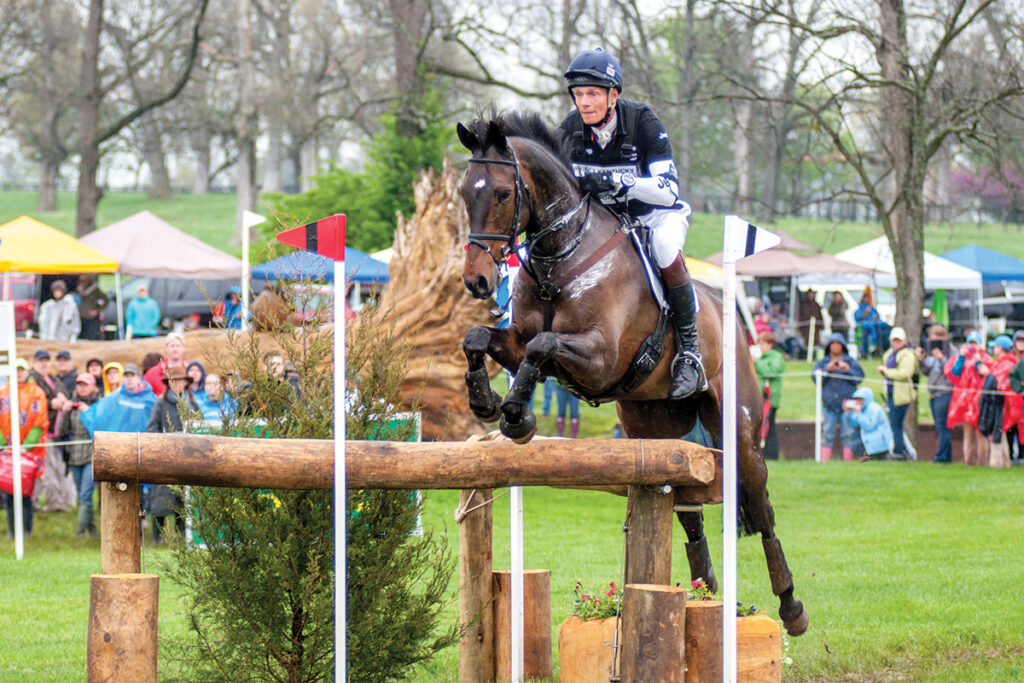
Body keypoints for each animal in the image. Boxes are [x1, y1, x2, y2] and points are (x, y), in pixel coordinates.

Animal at [455, 111, 809, 637]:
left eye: (500, 193)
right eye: (464, 192)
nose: (477, 280)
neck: (559, 255)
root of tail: (730, 313)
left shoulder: (601, 358)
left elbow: (543, 346)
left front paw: (516, 414)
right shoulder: (517, 344)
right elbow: (480, 338)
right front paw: (486, 400)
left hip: (740, 427)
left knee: (760, 503)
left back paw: (790, 606)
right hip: (655, 425)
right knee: (683, 498)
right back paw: (705, 591)